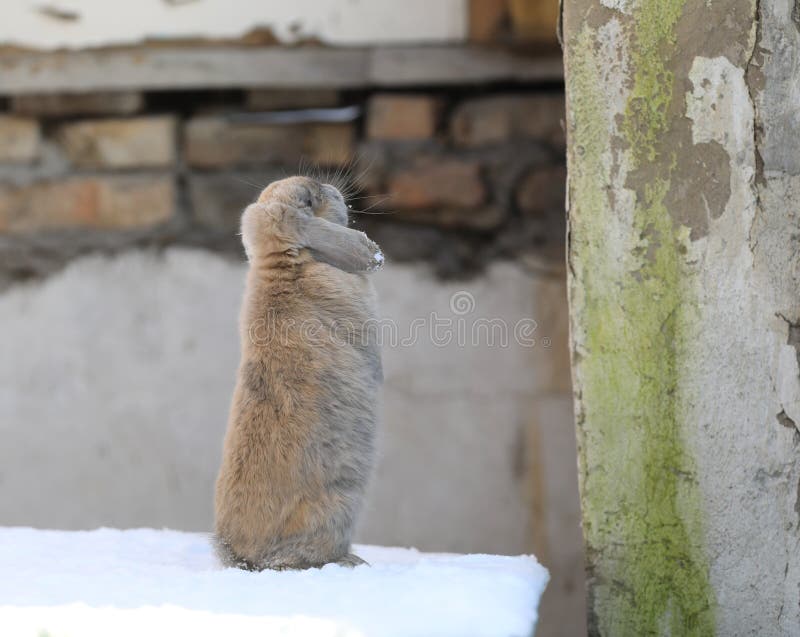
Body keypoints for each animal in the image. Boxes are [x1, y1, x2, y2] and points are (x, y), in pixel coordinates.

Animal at [213, 175, 384, 571]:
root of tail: (240, 554)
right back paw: (351, 561)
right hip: (337, 506)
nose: (332, 188)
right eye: (308, 200)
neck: (286, 265)